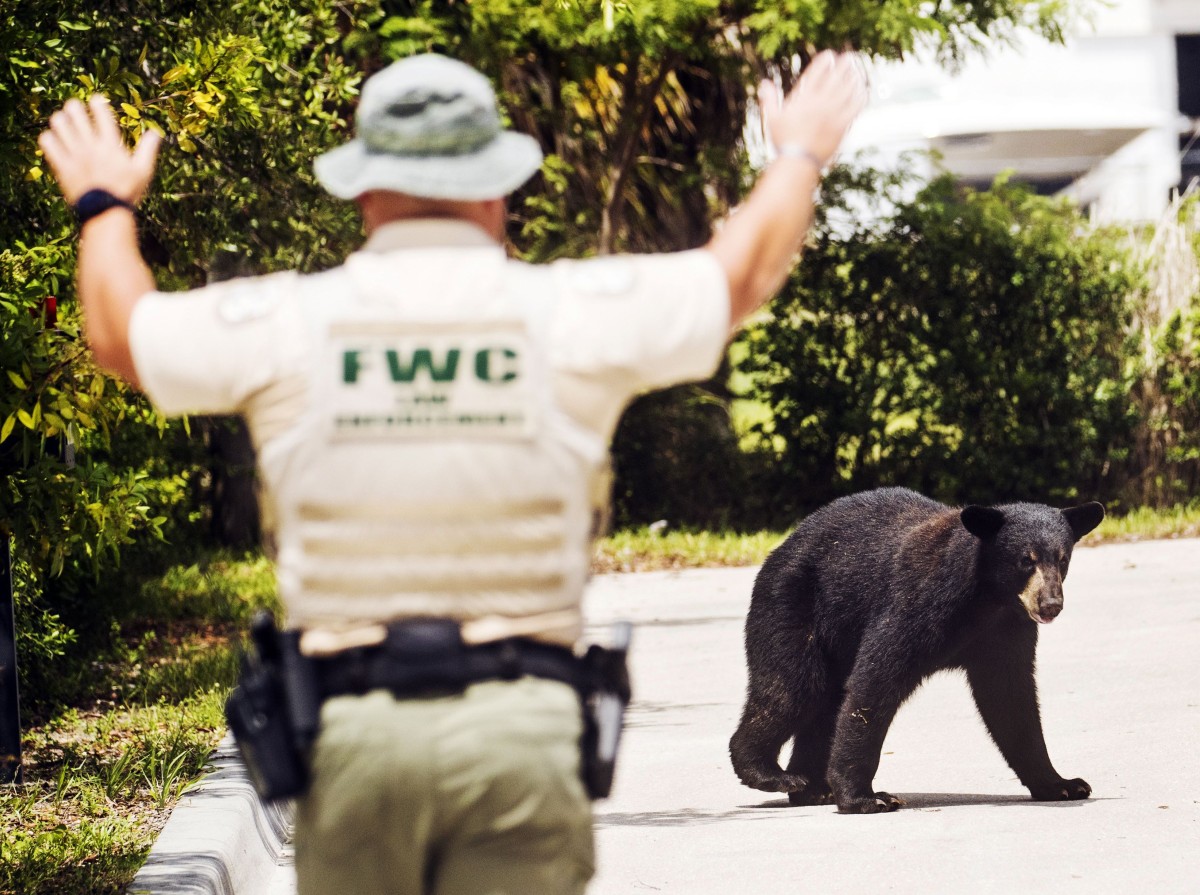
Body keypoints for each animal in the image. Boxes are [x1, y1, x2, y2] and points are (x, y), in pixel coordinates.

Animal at [729, 486, 1104, 814]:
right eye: (1025, 560)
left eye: (1063, 559)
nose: (1050, 604)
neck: (986, 599)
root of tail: (782, 546)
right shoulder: (917, 602)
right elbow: (876, 681)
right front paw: (865, 797)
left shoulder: (1005, 632)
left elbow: (1011, 699)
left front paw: (1062, 784)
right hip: (793, 605)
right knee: (793, 688)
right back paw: (772, 773)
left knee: (824, 704)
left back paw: (812, 788)